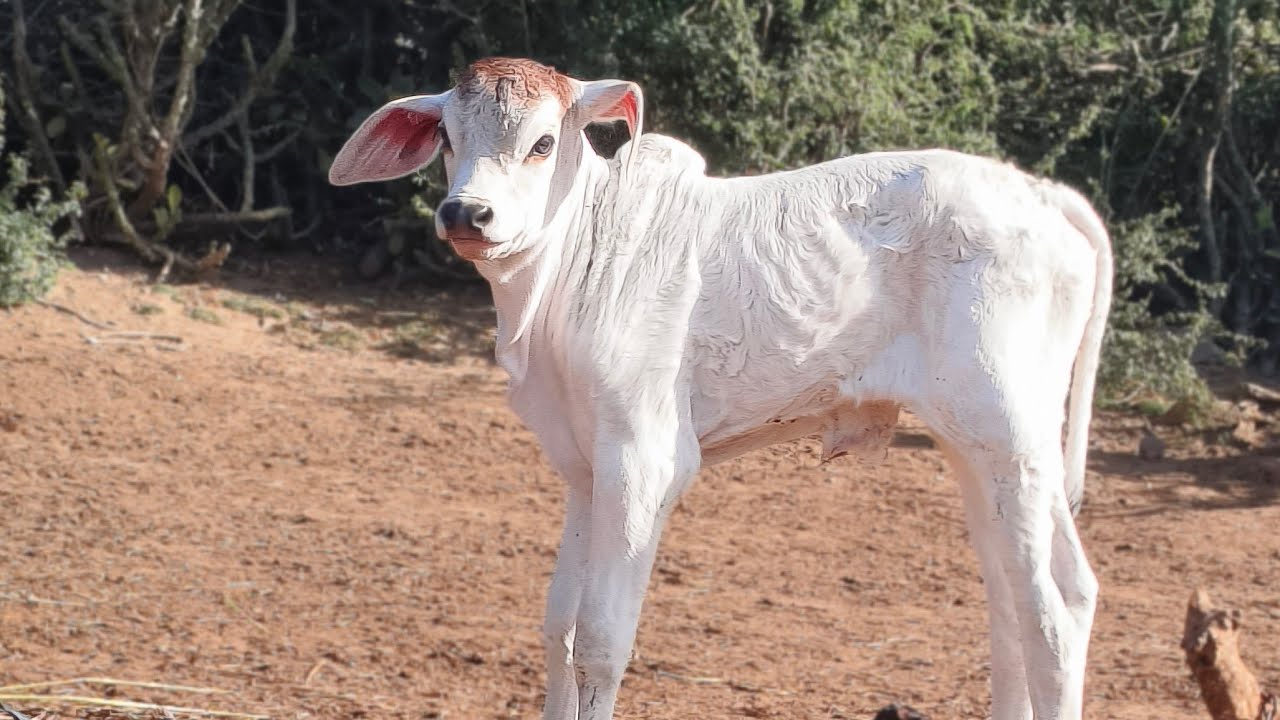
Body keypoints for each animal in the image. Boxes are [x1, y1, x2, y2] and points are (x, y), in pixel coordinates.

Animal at [329, 57, 1113, 720]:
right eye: (447, 137)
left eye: (543, 143)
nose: (466, 214)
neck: (564, 276)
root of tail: (1041, 192)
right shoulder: (586, 469)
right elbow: (560, 630)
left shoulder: (645, 462)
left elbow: (602, 643)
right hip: (975, 447)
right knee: (1019, 602)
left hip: (1011, 439)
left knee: (1053, 614)